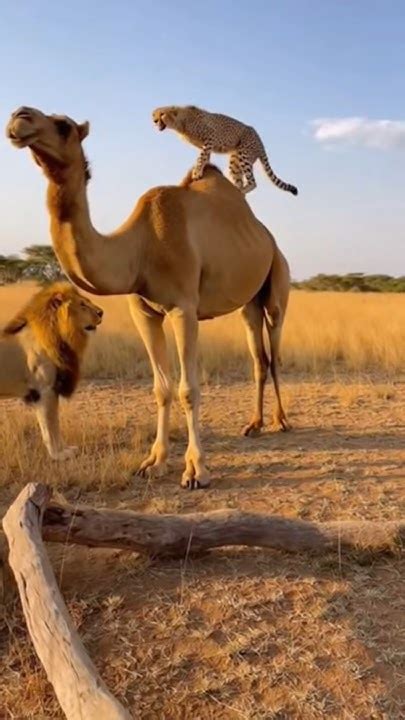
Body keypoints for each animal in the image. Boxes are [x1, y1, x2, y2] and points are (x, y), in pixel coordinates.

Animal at [0, 282, 103, 460]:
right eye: (82, 304)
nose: (101, 312)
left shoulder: (45, 391)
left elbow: (52, 424)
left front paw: (64, 449)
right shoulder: (45, 390)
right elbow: (50, 425)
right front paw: (58, 454)